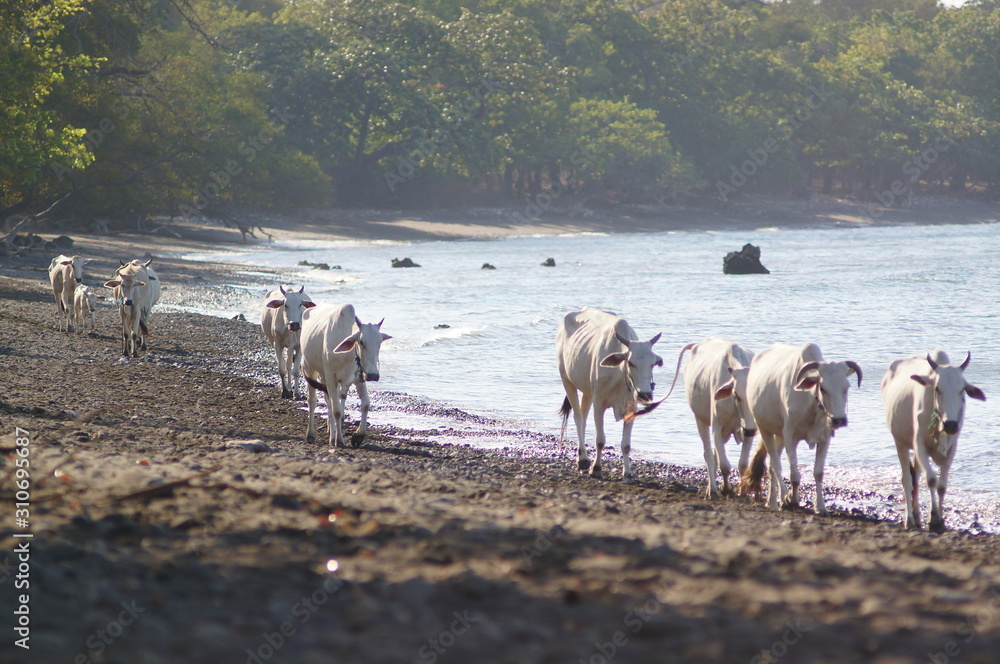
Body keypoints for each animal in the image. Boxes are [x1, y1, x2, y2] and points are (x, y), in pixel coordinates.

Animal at [300, 303, 391, 450]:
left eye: (380, 342)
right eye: (361, 342)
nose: (373, 375)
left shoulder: (358, 376)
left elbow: (365, 404)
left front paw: (358, 436)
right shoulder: (331, 377)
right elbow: (337, 411)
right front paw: (339, 440)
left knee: (330, 401)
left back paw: (331, 434)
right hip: (310, 368)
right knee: (313, 401)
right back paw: (311, 434)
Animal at [556, 307, 664, 483]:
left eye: (653, 363)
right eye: (631, 362)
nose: (645, 393)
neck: (620, 376)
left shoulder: (631, 407)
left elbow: (626, 445)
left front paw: (627, 474)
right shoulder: (599, 403)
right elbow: (600, 440)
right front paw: (596, 469)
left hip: (587, 391)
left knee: (583, 417)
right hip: (567, 379)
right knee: (578, 417)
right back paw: (583, 460)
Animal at [665, 338, 756, 499]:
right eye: (737, 394)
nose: (750, 430)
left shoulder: (748, 430)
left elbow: (743, 464)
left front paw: (743, 493)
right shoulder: (717, 428)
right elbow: (725, 466)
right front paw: (726, 489)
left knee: (714, 455)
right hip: (700, 420)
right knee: (708, 454)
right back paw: (712, 490)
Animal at [741, 343, 862, 515]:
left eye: (846, 387)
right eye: (822, 388)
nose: (839, 419)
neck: (810, 403)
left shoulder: (824, 439)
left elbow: (818, 473)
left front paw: (821, 507)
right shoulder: (791, 437)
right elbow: (795, 475)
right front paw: (792, 499)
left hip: (779, 436)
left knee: (771, 466)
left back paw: (772, 501)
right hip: (765, 429)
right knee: (776, 465)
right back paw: (780, 499)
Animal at [881, 350, 985, 532]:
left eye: (962, 390)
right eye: (937, 388)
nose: (951, 424)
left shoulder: (952, 448)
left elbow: (942, 485)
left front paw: (941, 520)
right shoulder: (919, 445)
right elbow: (931, 479)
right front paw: (934, 518)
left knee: (914, 474)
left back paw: (916, 515)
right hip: (900, 442)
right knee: (907, 479)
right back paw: (909, 519)